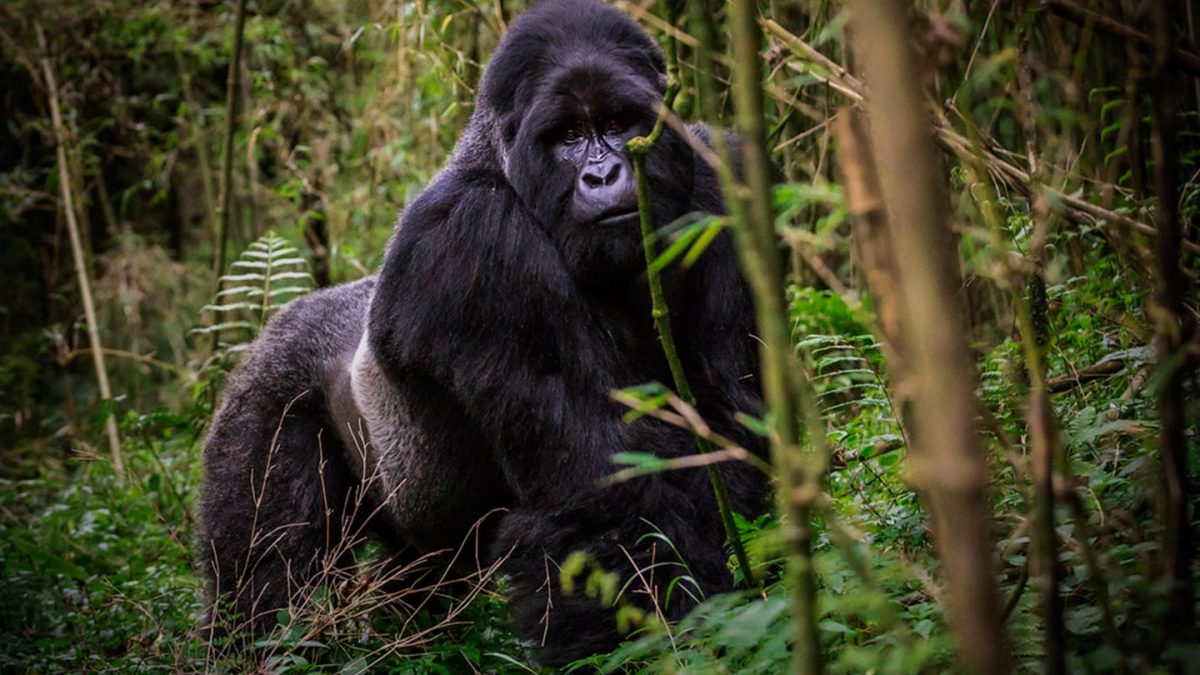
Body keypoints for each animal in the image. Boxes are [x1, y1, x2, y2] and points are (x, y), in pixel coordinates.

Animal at [199, 0, 768, 662]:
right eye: (568, 136)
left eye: (620, 122)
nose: (603, 176)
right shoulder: (478, 244)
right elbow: (606, 492)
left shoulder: (722, 181)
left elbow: (731, 413)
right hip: (270, 390)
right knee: (266, 571)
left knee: (418, 571)